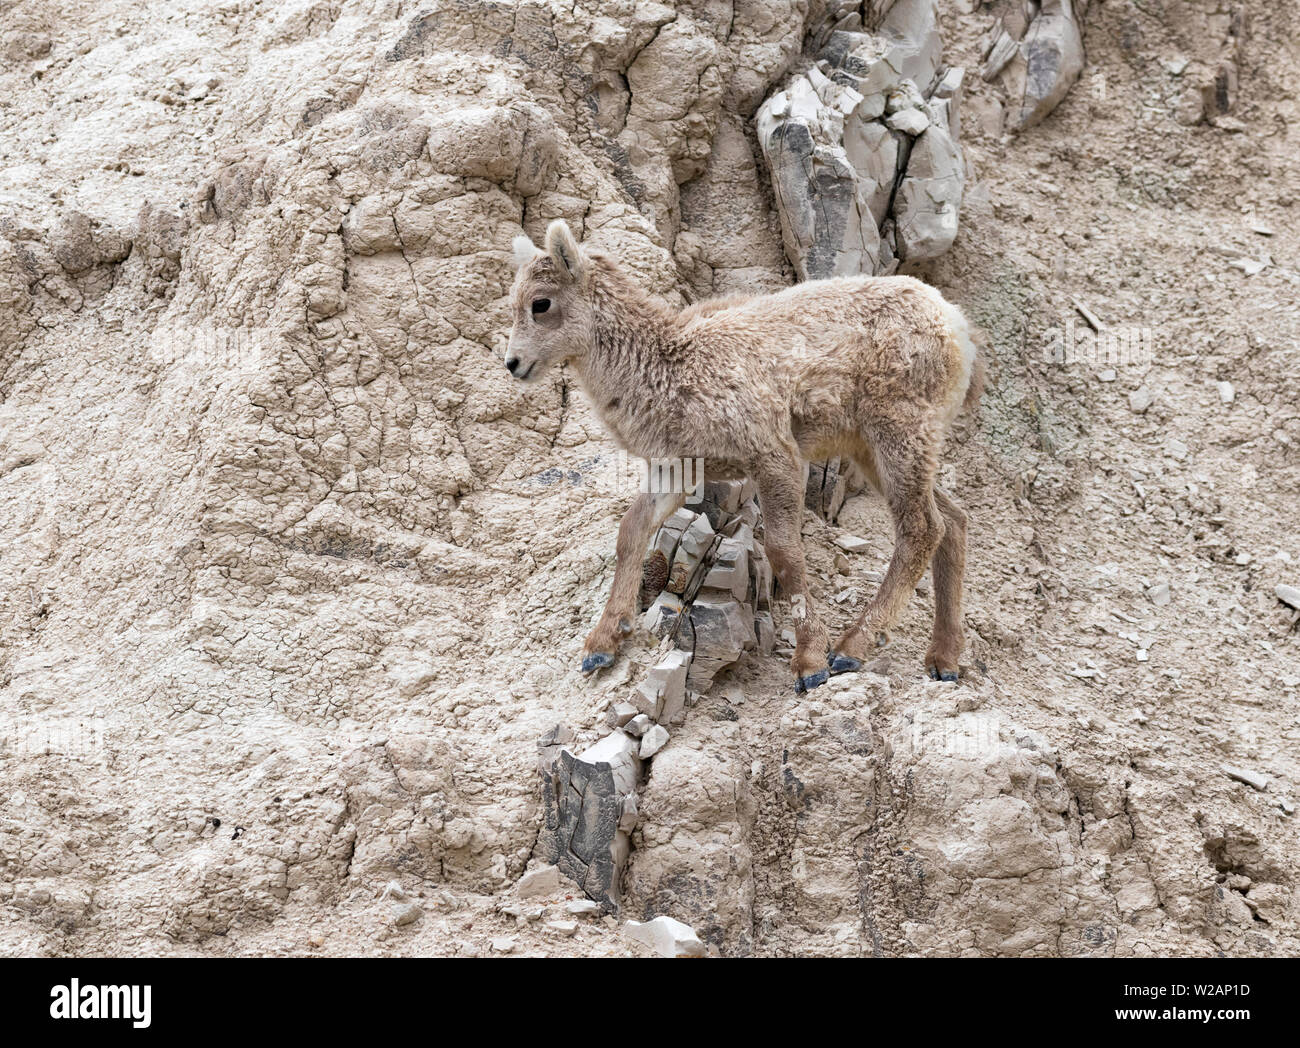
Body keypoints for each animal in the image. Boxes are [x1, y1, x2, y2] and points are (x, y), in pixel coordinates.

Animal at [506, 220, 983, 692]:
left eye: (541, 303)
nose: (513, 364)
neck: (673, 366)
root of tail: (956, 326)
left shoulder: (775, 456)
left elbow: (784, 553)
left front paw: (810, 665)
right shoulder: (675, 470)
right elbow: (631, 533)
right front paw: (601, 646)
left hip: (898, 434)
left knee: (922, 529)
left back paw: (851, 649)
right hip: (876, 450)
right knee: (952, 522)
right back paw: (943, 660)